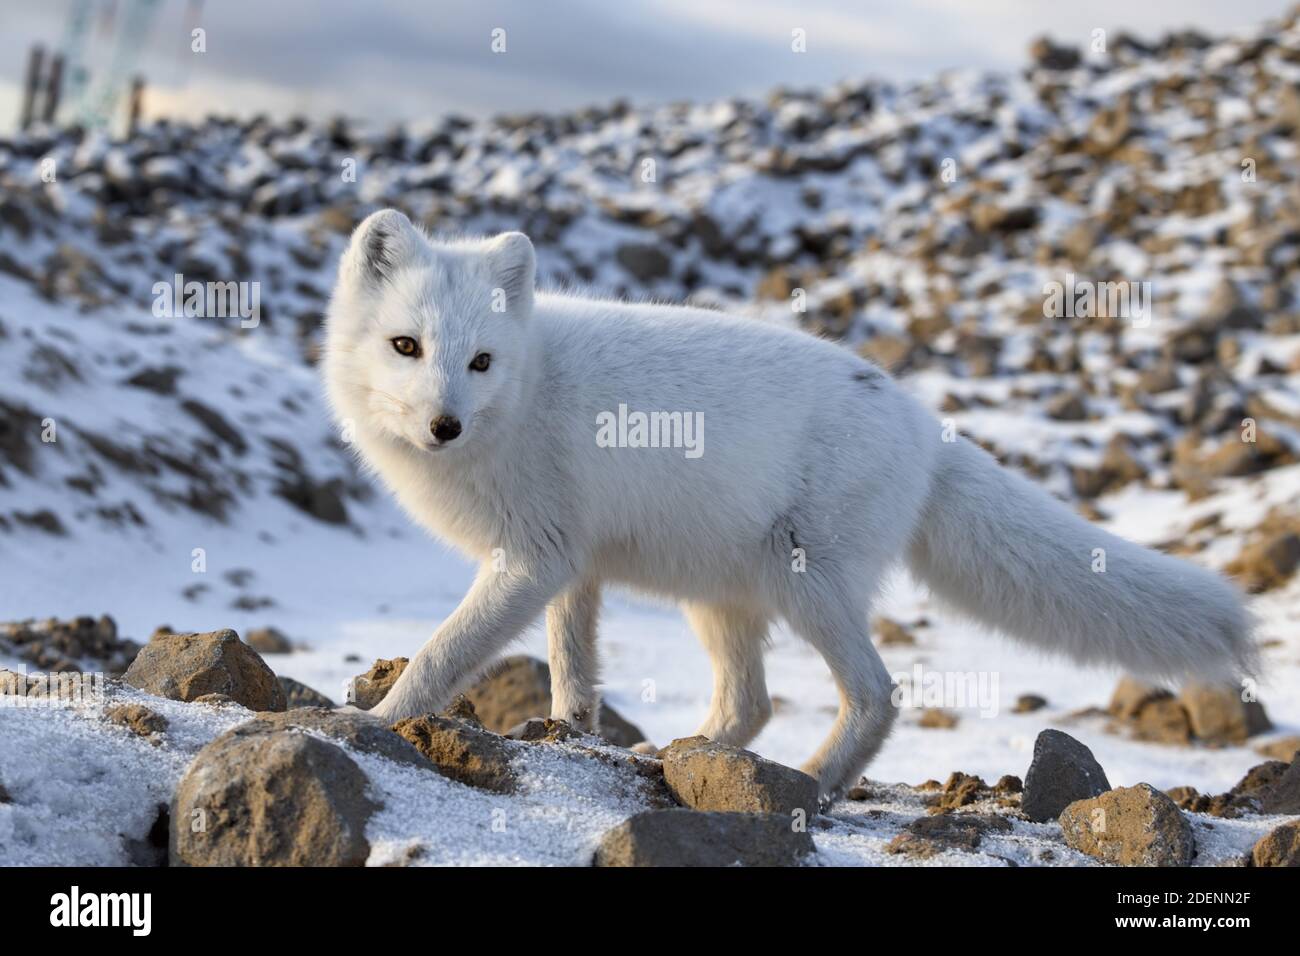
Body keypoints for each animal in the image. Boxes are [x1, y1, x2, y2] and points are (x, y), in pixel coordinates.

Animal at [323, 208, 1257, 800]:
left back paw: (812, 781)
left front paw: (375, 720)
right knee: (752, 704)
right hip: (723, 594)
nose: (444, 425)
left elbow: (444, 653)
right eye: (406, 346)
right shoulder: (568, 562)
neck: (526, 393)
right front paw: (568, 735)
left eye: (480, 361)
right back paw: (683, 755)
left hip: (805, 576)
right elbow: (573, 670)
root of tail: (925, 427)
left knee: (877, 694)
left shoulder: (532, 557)